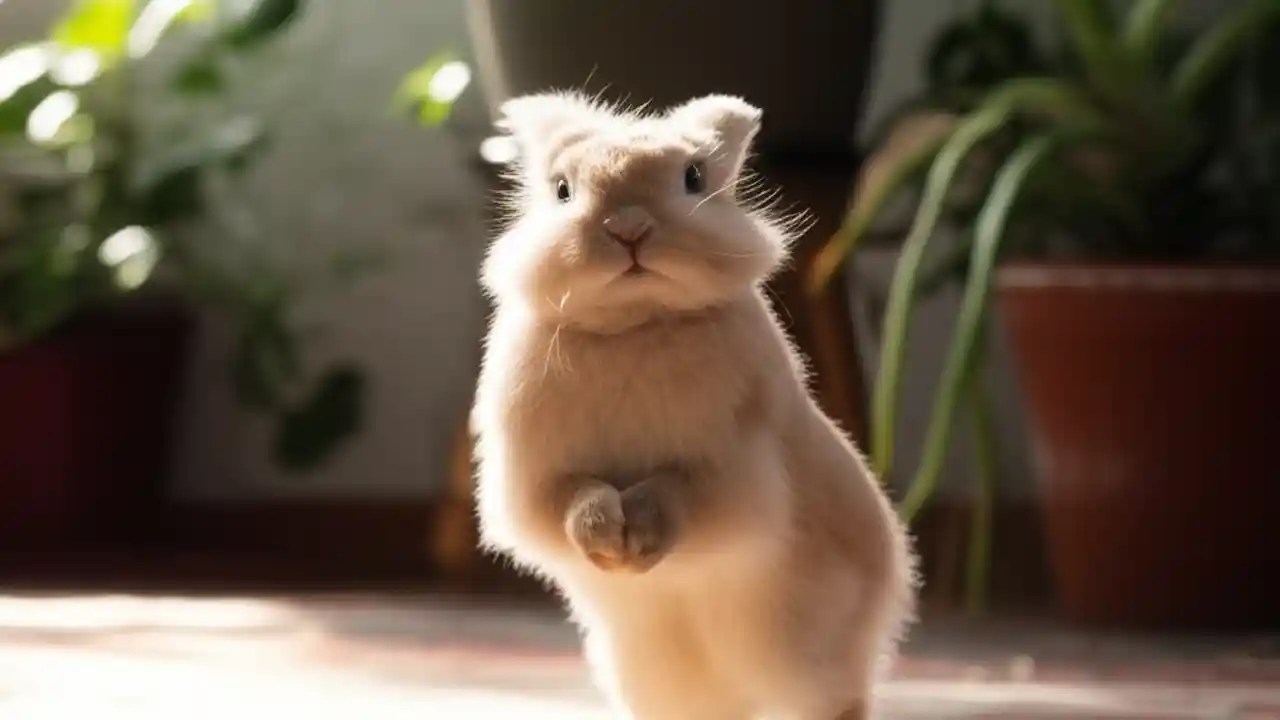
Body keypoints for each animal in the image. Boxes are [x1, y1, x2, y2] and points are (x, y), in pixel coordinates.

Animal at [470, 92, 916, 720]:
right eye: (561, 190)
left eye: (693, 178)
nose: (629, 227)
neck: (635, 322)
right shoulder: (536, 480)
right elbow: (575, 501)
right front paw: (609, 541)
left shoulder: (734, 473)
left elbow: (676, 493)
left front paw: (639, 540)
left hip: (813, 664)